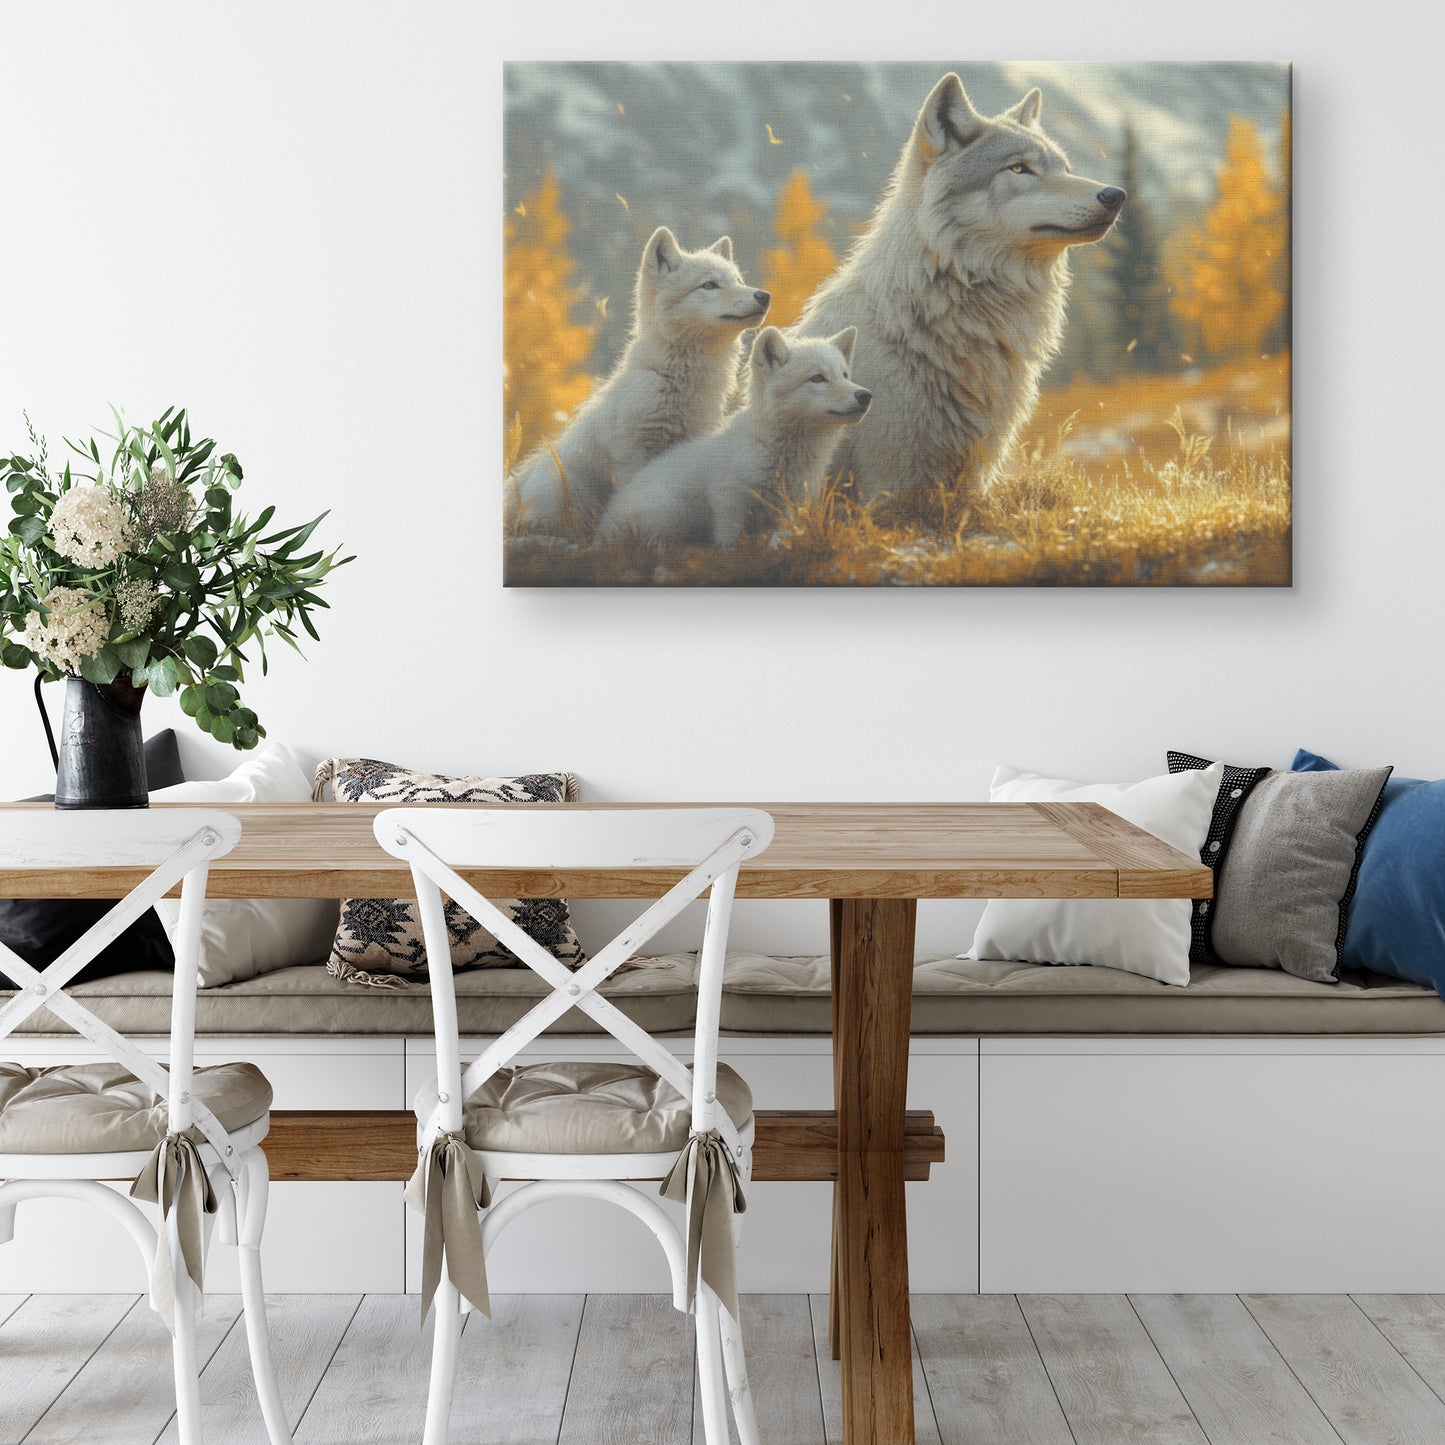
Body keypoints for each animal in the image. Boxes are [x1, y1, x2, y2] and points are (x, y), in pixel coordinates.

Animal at [598, 326, 871, 547]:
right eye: (817, 378)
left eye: (845, 375)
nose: (865, 395)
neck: (777, 451)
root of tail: (603, 525)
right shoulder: (729, 499)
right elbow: (730, 545)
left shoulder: (788, 506)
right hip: (670, 512)